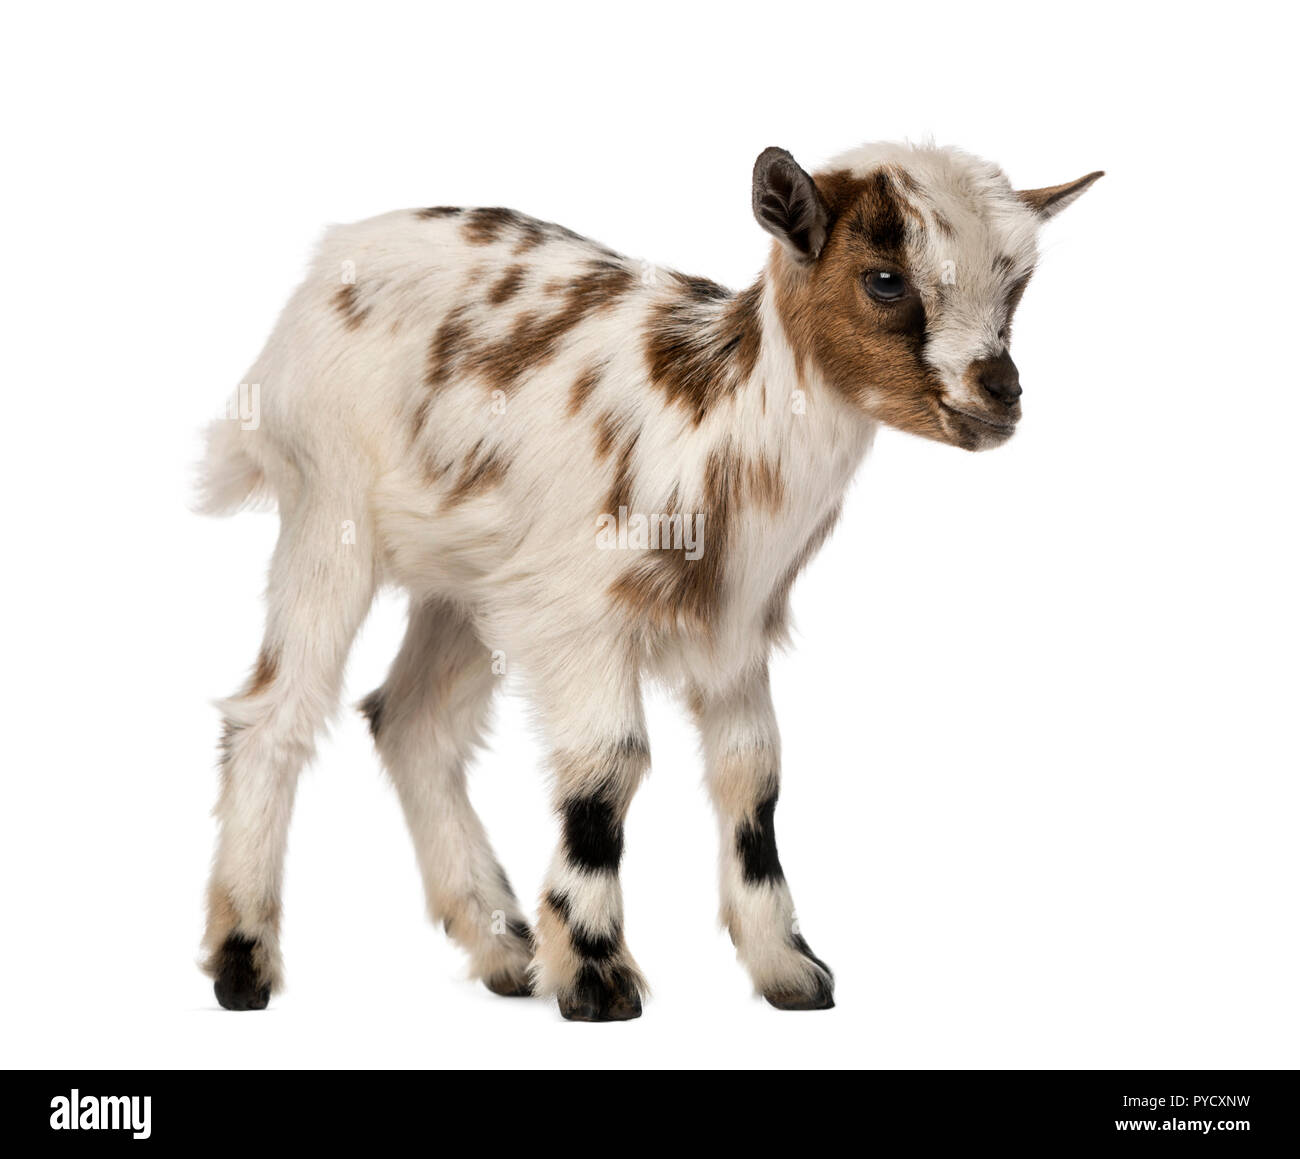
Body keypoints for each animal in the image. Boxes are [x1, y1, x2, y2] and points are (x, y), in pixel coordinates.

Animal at [199, 141, 1101, 1020]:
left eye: (1016, 284)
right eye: (885, 279)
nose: (1001, 392)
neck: (711, 419)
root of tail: (330, 262)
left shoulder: (732, 626)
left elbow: (754, 775)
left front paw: (788, 968)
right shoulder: (579, 614)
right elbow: (607, 770)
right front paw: (597, 973)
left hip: (469, 573)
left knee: (410, 722)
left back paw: (503, 949)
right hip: (329, 503)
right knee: (273, 713)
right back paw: (243, 960)